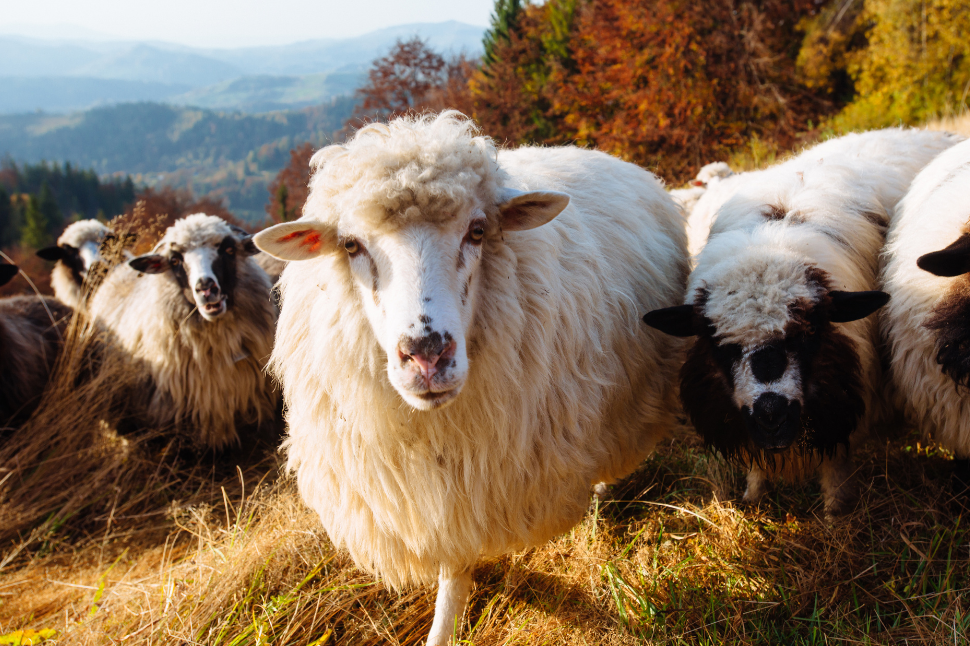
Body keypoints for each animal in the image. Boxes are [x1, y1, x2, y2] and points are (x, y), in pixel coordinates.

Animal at [253, 112, 689, 646]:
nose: (426, 354)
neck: (433, 427)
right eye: (351, 245)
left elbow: (455, 570)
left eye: (477, 231)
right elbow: (451, 565)